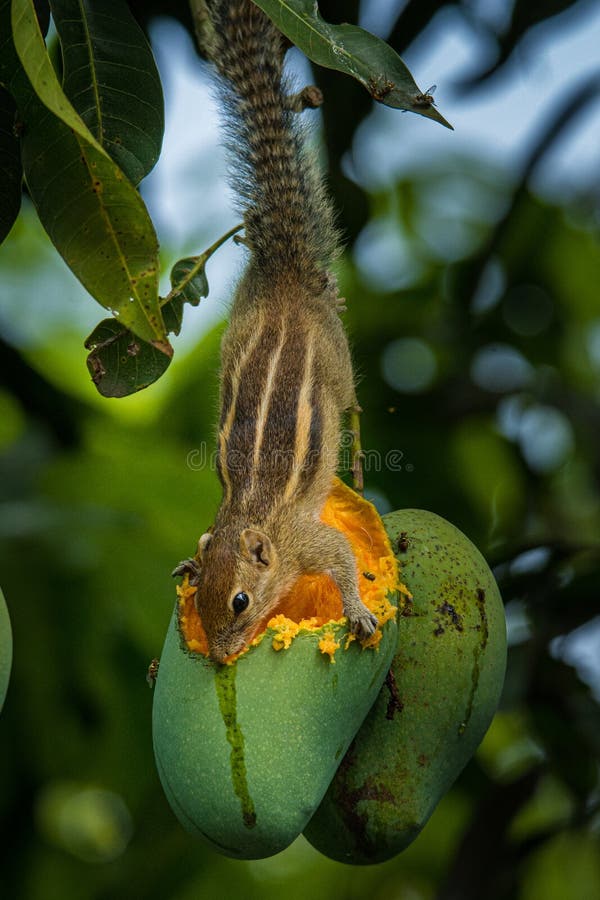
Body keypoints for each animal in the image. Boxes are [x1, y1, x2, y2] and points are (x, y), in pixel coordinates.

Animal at [174, 0, 377, 663]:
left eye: (240, 601)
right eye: (201, 602)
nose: (218, 654)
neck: (247, 515)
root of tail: (286, 271)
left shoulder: (307, 541)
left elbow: (342, 561)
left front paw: (357, 610)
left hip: (336, 358)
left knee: (351, 395)